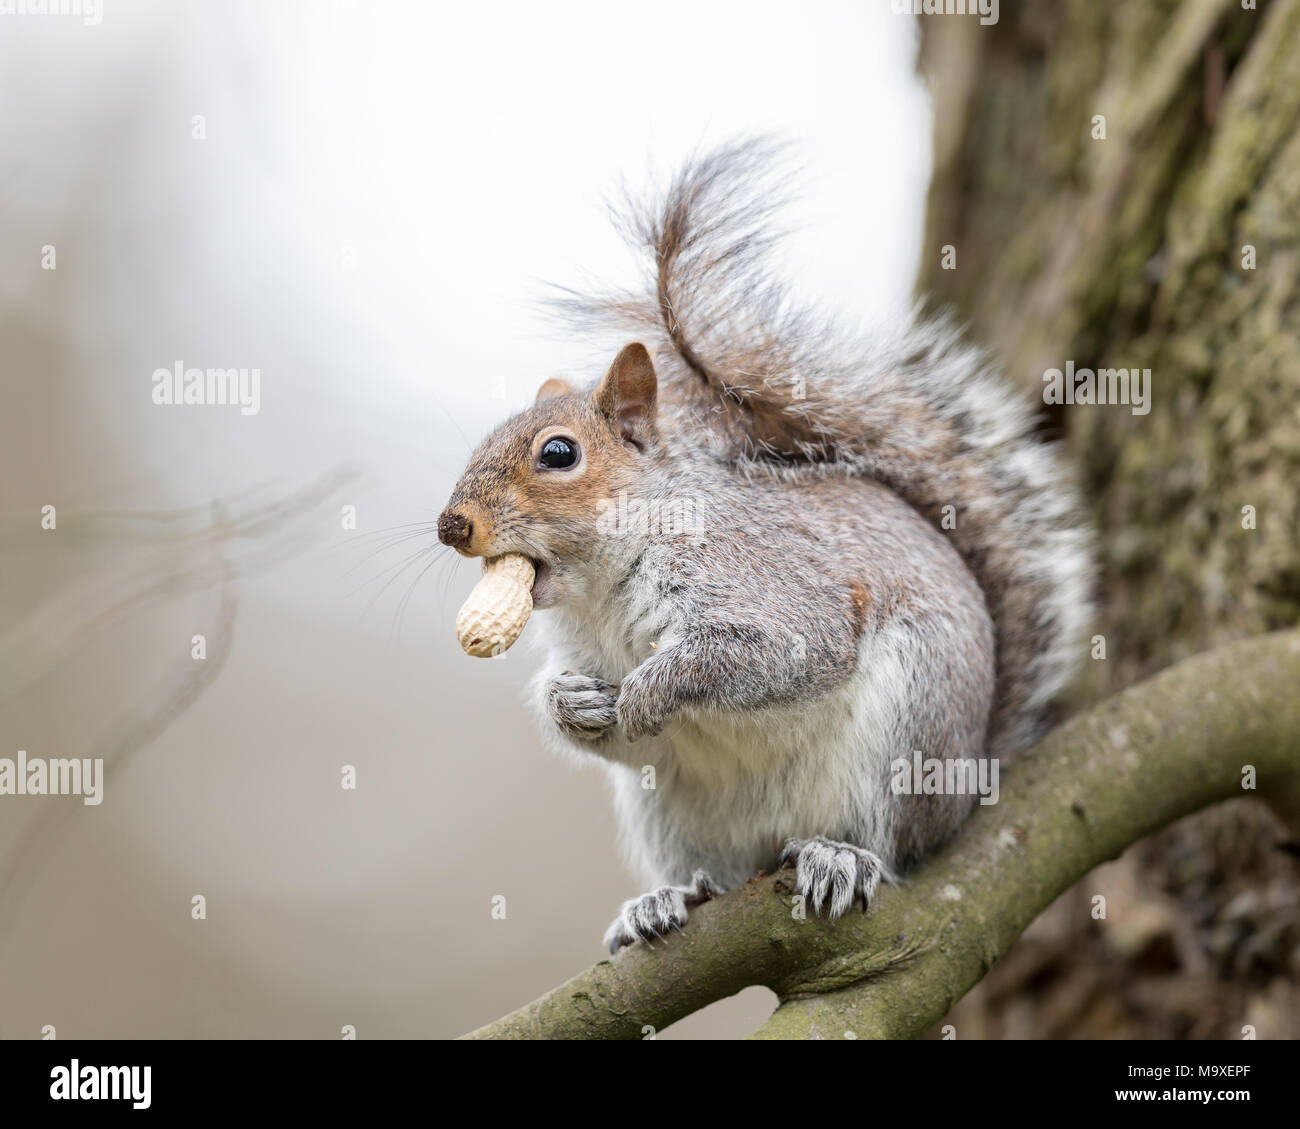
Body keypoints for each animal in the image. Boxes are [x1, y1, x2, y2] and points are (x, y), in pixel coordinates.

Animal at [438, 139, 1093, 952]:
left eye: (558, 454)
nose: (452, 525)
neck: (604, 590)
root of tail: (972, 784)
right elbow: (609, 730)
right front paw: (569, 701)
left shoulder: (766, 584)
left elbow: (774, 653)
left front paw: (654, 686)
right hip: (667, 812)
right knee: (711, 870)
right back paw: (667, 900)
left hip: (911, 732)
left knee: (895, 847)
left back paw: (842, 857)